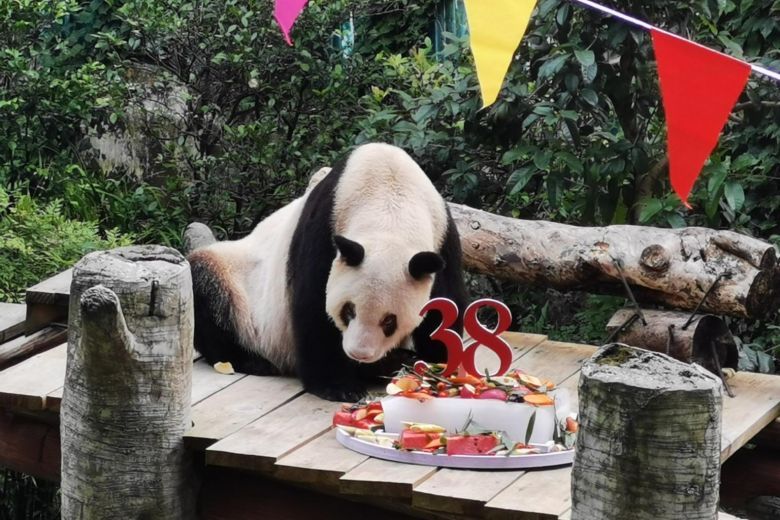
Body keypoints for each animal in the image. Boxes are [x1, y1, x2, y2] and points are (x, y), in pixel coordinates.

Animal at [189, 143, 467, 402]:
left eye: (390, 321)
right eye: (349, 310)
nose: (359, 353)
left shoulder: (443, 238)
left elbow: (444, 307)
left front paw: (437, 365)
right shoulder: (325, 224)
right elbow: (314, 304)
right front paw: (338, 387)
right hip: (238, 283)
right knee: (205, 288)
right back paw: (251, 360)